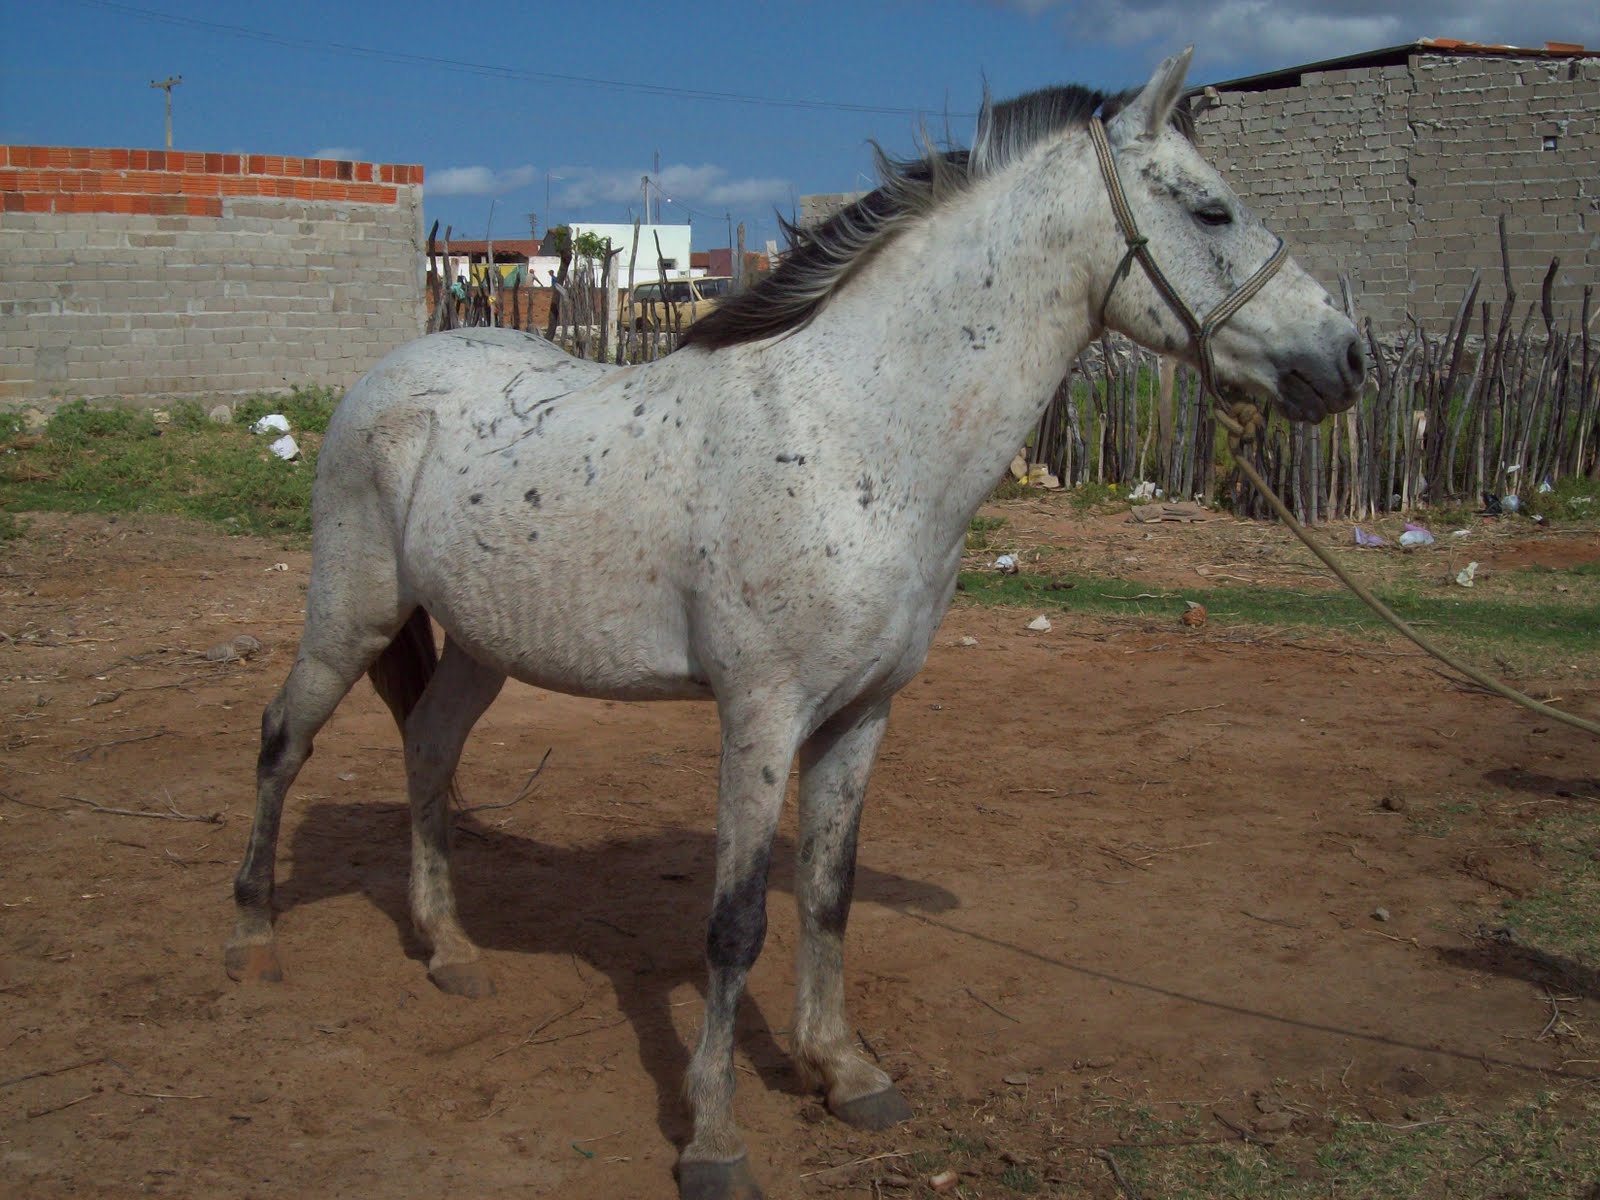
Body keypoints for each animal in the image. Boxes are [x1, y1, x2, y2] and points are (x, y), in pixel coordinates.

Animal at [226, 49, 1364, 1200]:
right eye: (1212, 210)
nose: (1348, 359)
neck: (853, 428)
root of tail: (390, 376)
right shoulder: (761, 714)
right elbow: (736, 924)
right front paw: (713, 1138)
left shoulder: (862, 713)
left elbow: (827, 893)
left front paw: (843, 1072)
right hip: (352, 613)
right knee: (284, 738)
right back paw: (255, 936)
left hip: (482, 644)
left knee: (428, 745)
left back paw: (450, 951)